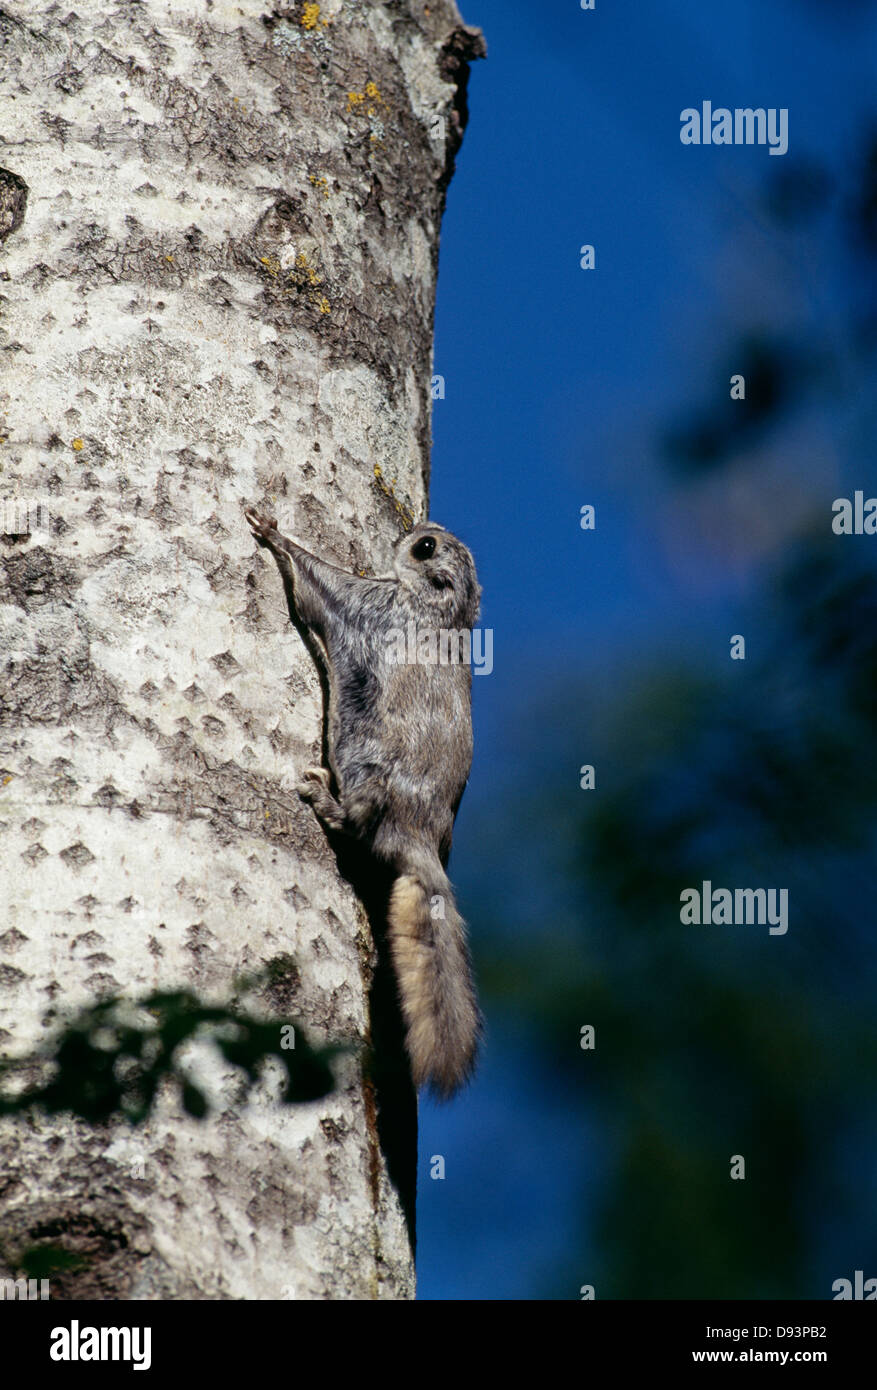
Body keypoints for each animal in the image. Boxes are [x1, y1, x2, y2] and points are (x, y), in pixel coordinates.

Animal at [245, 506, 483, 1099]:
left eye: (425, 548)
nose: (417, 526)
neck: (438, 614)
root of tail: (419, 842)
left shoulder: (368, 605)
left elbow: (317, 583)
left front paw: (273, 533)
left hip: (367, 775)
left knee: (355, 824)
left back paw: (322, 799)